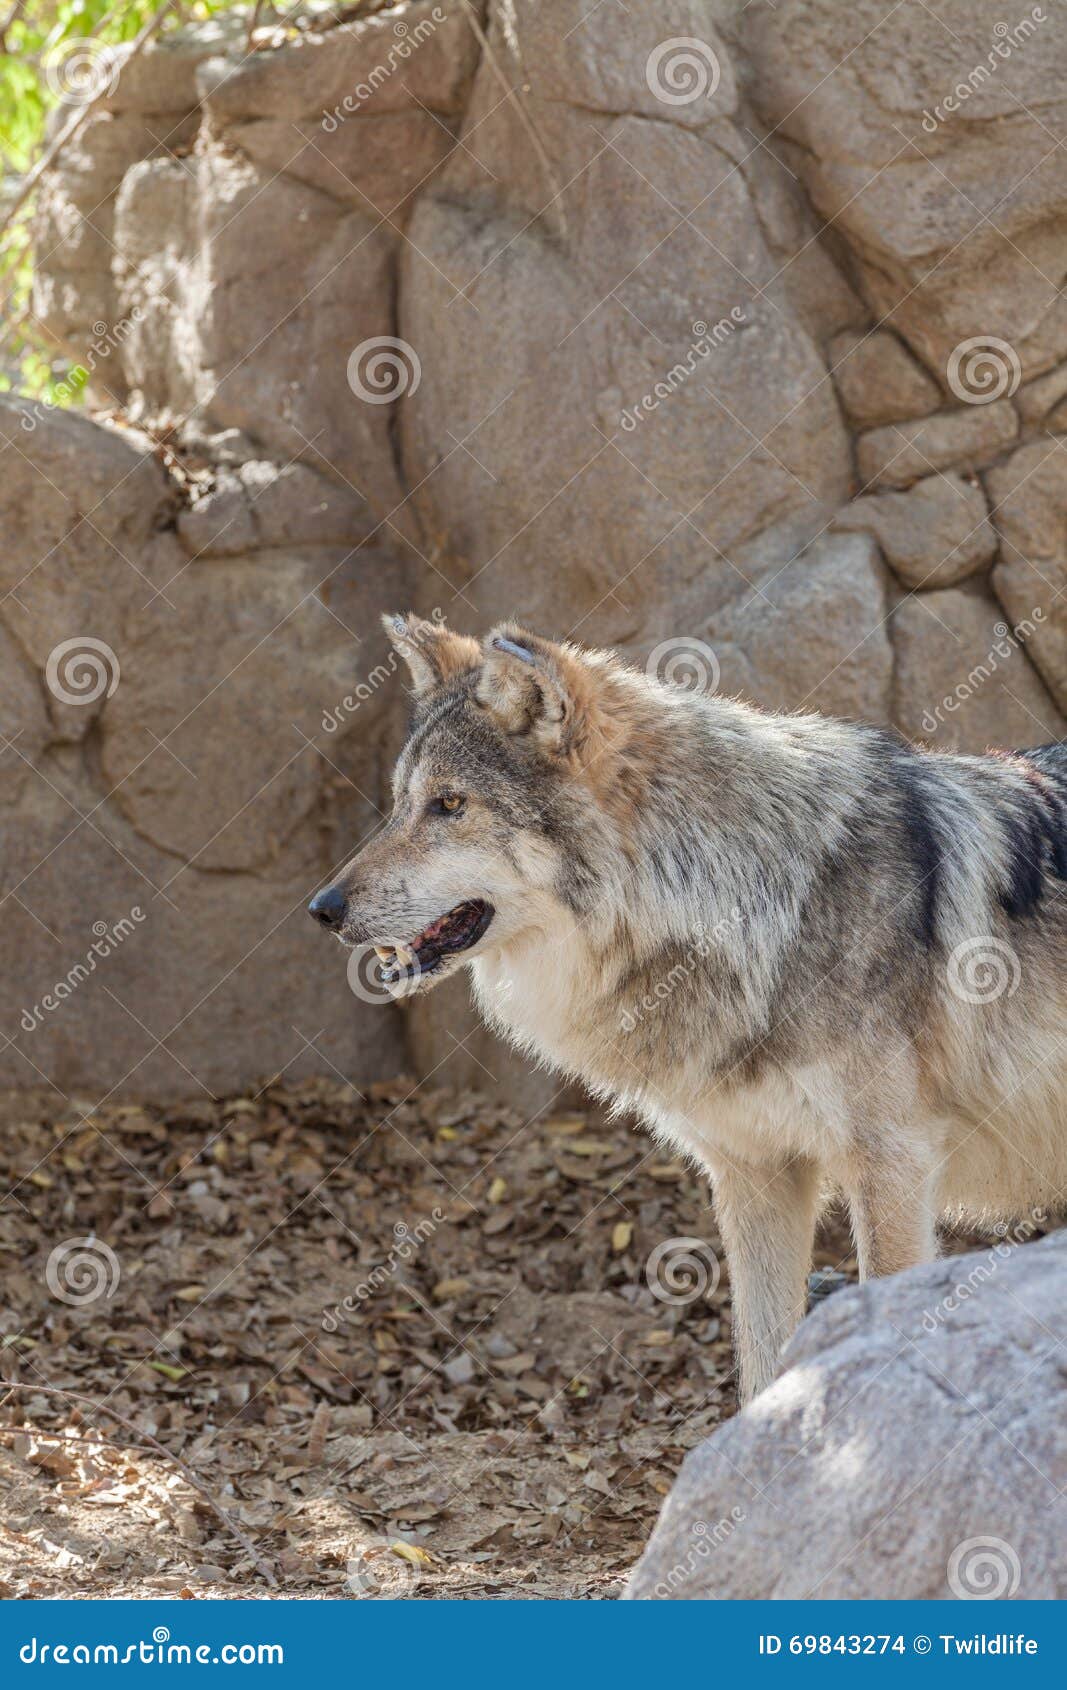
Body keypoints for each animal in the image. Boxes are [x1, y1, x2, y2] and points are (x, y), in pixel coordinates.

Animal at [309, 613, 1067, 1401]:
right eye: (402, 801)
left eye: (451, 804)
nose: (321, 909)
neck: (738, 902)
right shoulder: (756, 1176)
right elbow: (761, 1364)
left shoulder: (890, 1164)